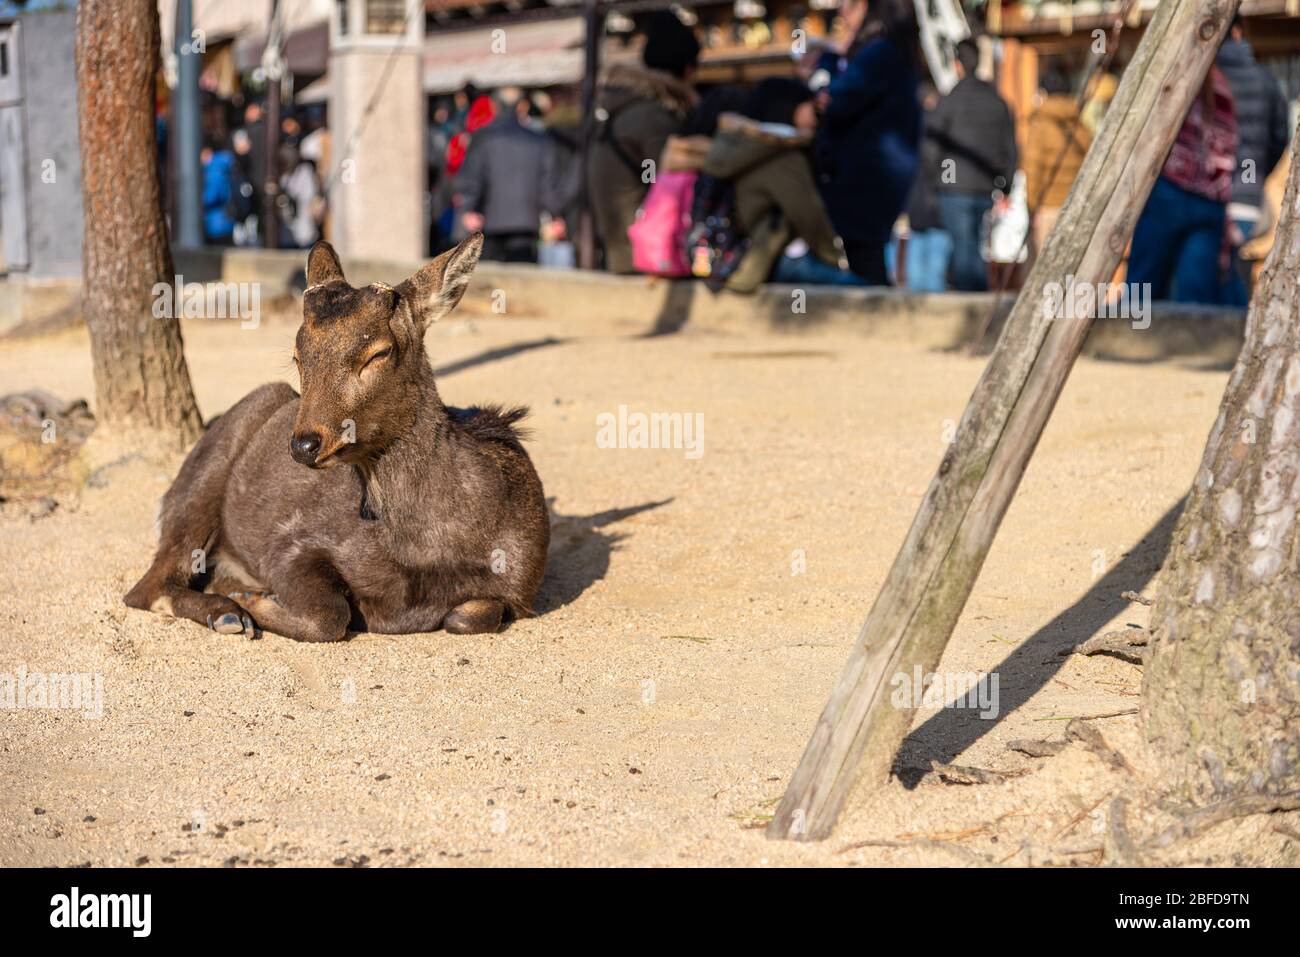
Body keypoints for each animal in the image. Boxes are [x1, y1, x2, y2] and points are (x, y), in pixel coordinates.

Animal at [125, 234, 550, 641]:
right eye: (298, 356)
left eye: (379, 352)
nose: (304, 444)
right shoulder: (291, 544)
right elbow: (330, 615)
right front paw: (252, 599)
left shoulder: (521, 591)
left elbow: (472, 614)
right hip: (203, 481)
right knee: (146, 589)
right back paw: (228, 613)